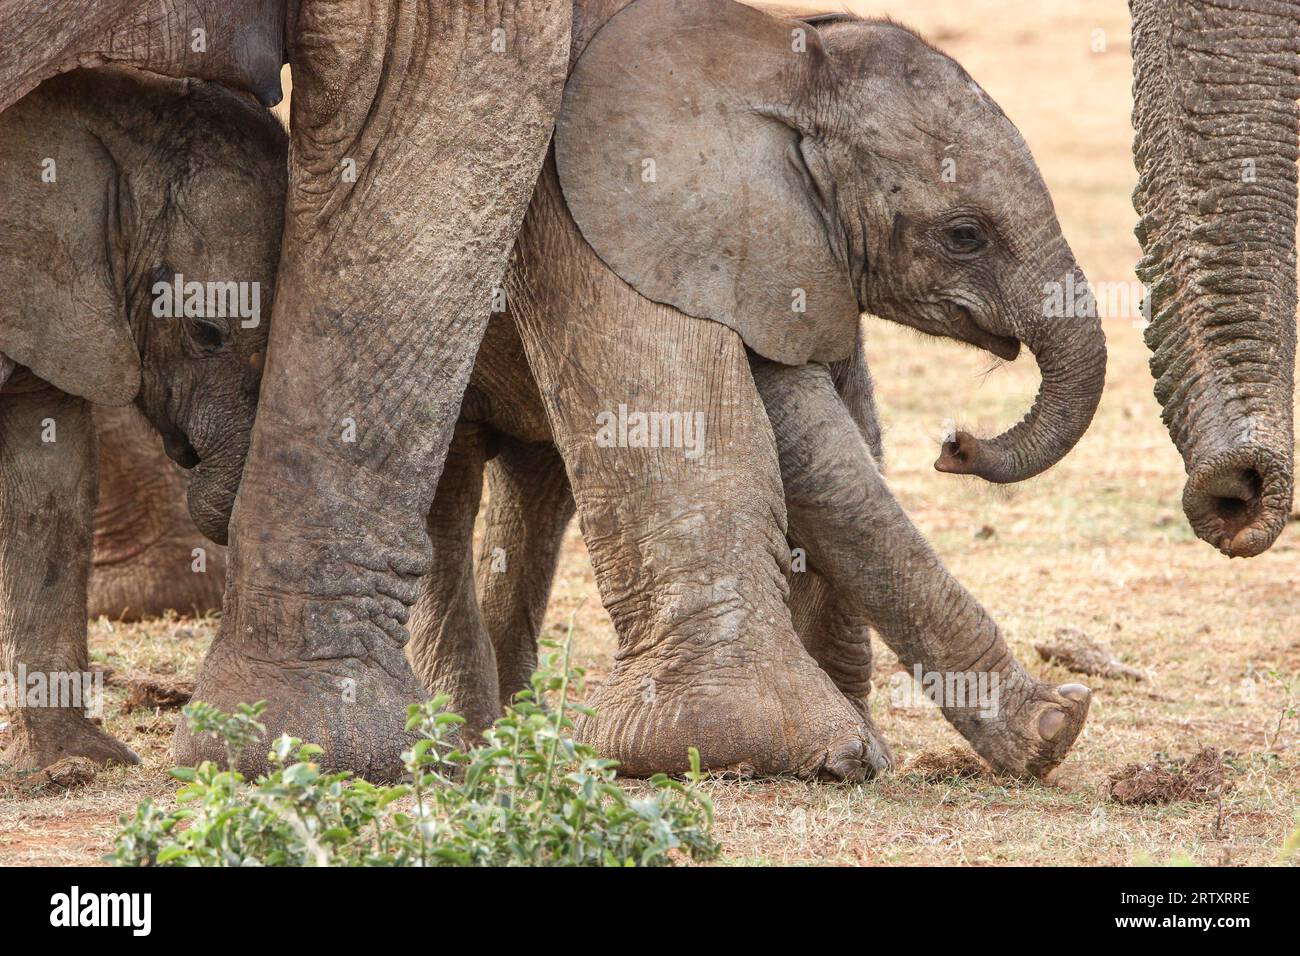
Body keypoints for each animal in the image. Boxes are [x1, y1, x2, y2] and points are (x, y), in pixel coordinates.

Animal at [404, 0, 1103, 781]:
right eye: (964, 235)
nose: (955, 446)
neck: (777, 59)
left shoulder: (792, 260)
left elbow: (847, 450)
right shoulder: (640, 230)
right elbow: (816, 455)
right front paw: (1052, 728)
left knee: (536, 490)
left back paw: (512, 740)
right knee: (451, 488)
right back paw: (461, 746)